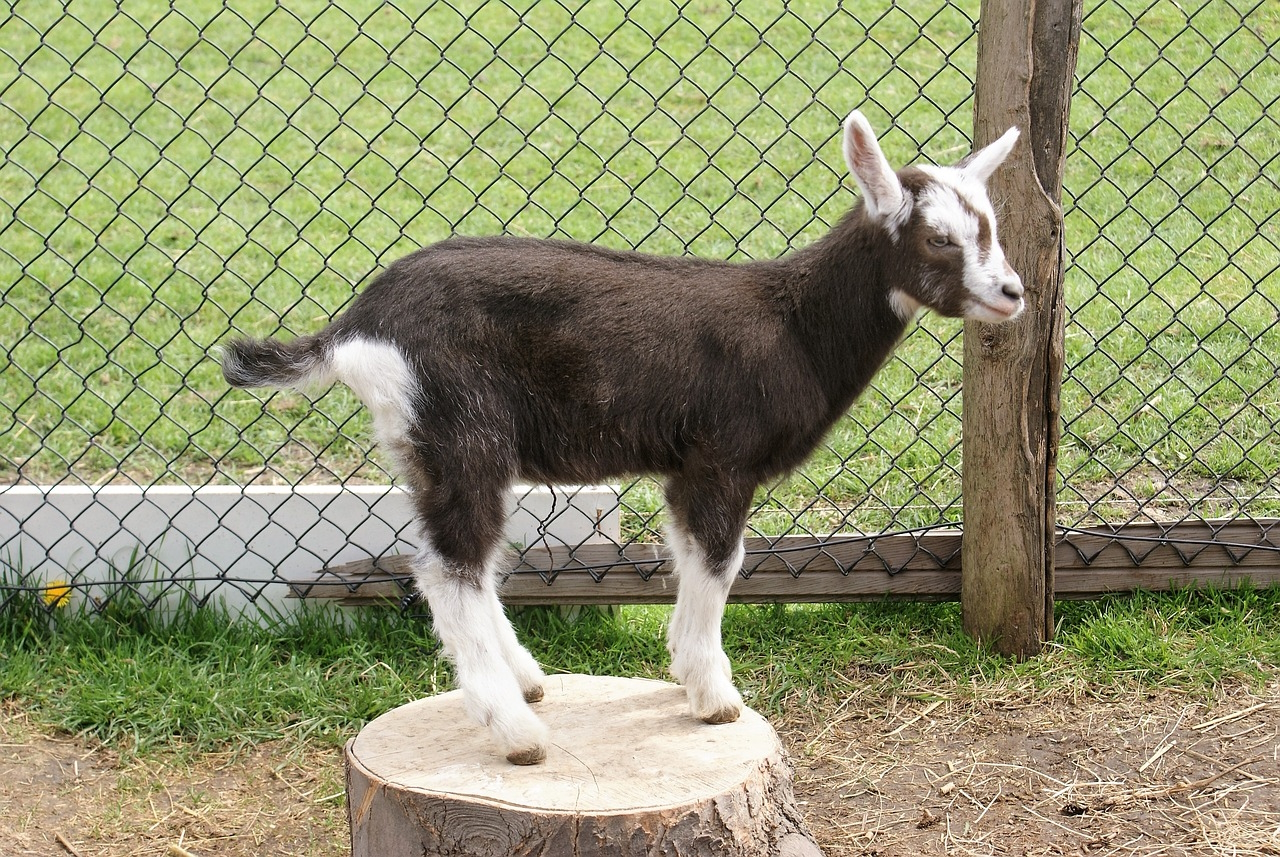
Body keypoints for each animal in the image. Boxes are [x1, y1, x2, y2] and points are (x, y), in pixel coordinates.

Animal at [221, 110, 1024, 765]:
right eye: (938, 238)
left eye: (990, 225)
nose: (1013, 293)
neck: (793, 325)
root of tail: (356, 326)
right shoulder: (718, 460)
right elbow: (721, 565)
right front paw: (713, 697)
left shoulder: (686, 466)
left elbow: (695, 560)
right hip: (460, 432)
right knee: (448, 570)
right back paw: (517, 732)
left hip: (425, 445)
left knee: (458, 563)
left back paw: (527, 682)